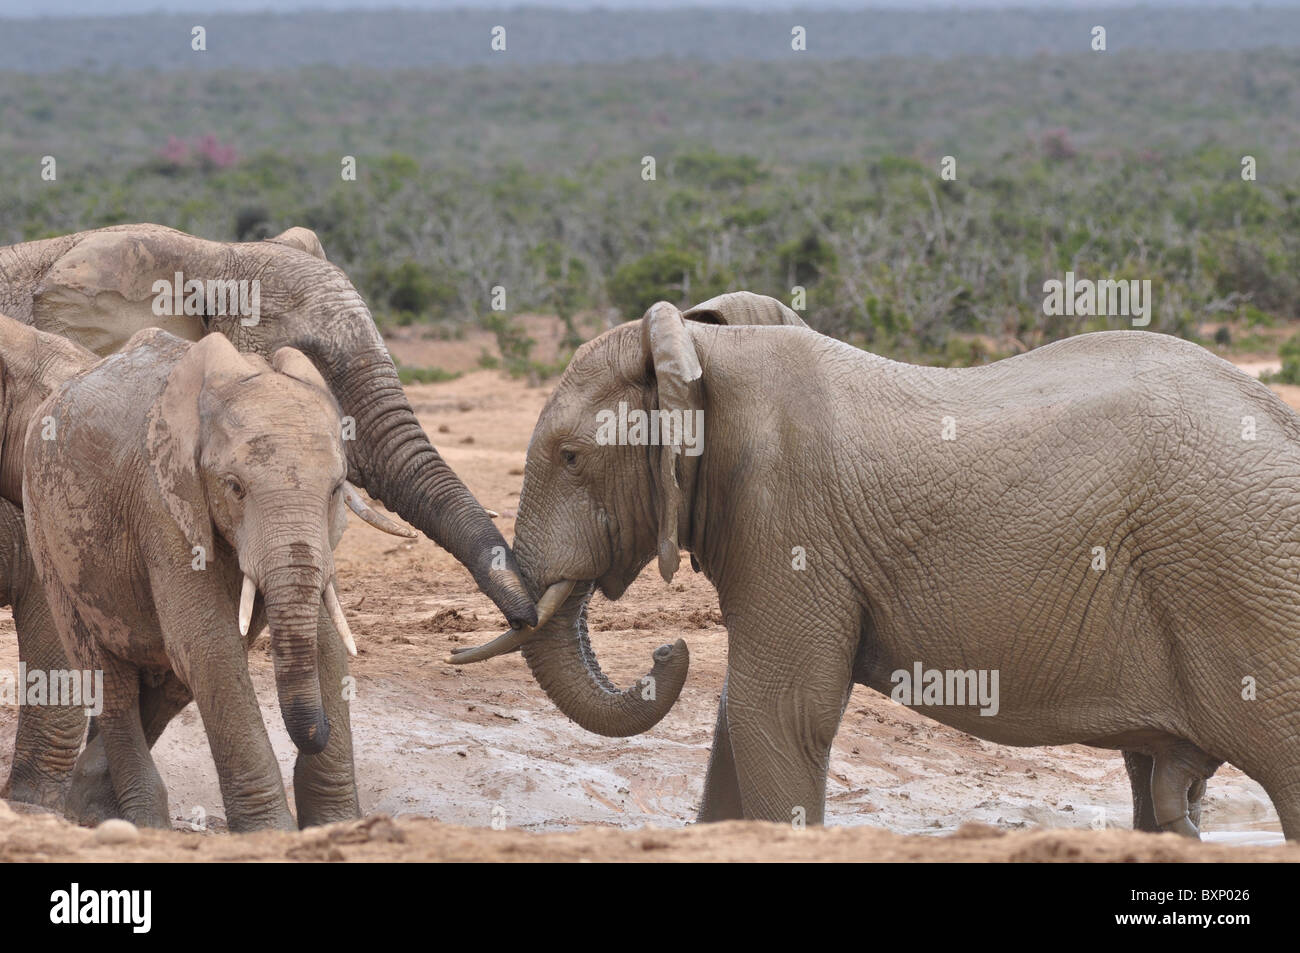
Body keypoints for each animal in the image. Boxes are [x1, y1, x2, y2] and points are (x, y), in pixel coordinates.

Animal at [20, 325, 404, 831]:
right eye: (234, 487)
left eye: (337, 488)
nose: (314, 731)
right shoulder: (162, 502)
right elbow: (210, 646)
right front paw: (270, 833)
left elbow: (324, 641)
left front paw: (335, 826)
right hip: (45, 531)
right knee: (111, 678)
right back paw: (129, 818)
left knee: (168, 682)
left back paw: (97, 804)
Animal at [451, 296, 1300, 839]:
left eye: (571, 457)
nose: (667, 651)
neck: (705, 355)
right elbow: (742, 715)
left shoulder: (787, 524)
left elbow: (777, 712)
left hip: (1244, 574)